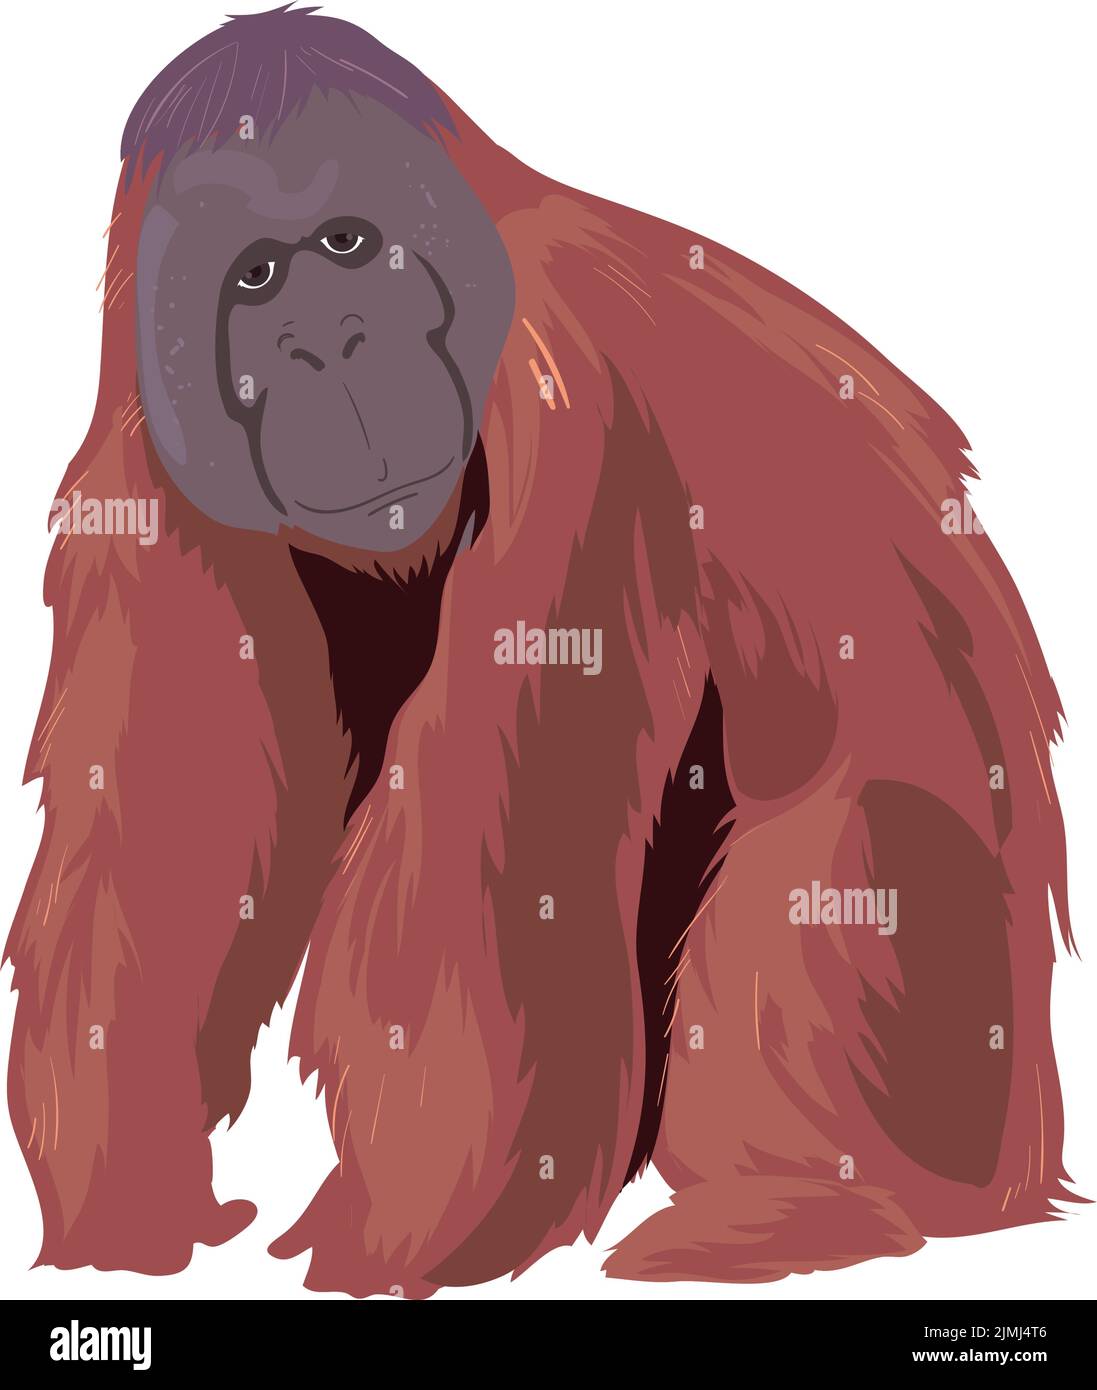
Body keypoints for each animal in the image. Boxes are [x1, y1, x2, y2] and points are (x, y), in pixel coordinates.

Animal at [5, 4, 1077, 1297]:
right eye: (257, 277)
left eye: (350, 245)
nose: (330, 345)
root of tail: (1029, 1159)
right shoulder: (144, 484)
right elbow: (164, 850)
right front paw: (128, 1216)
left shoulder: (575, 429)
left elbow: (487, 901)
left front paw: (381, 1244)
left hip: (965, 1073)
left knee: (842, 844)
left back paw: (792, 1211)